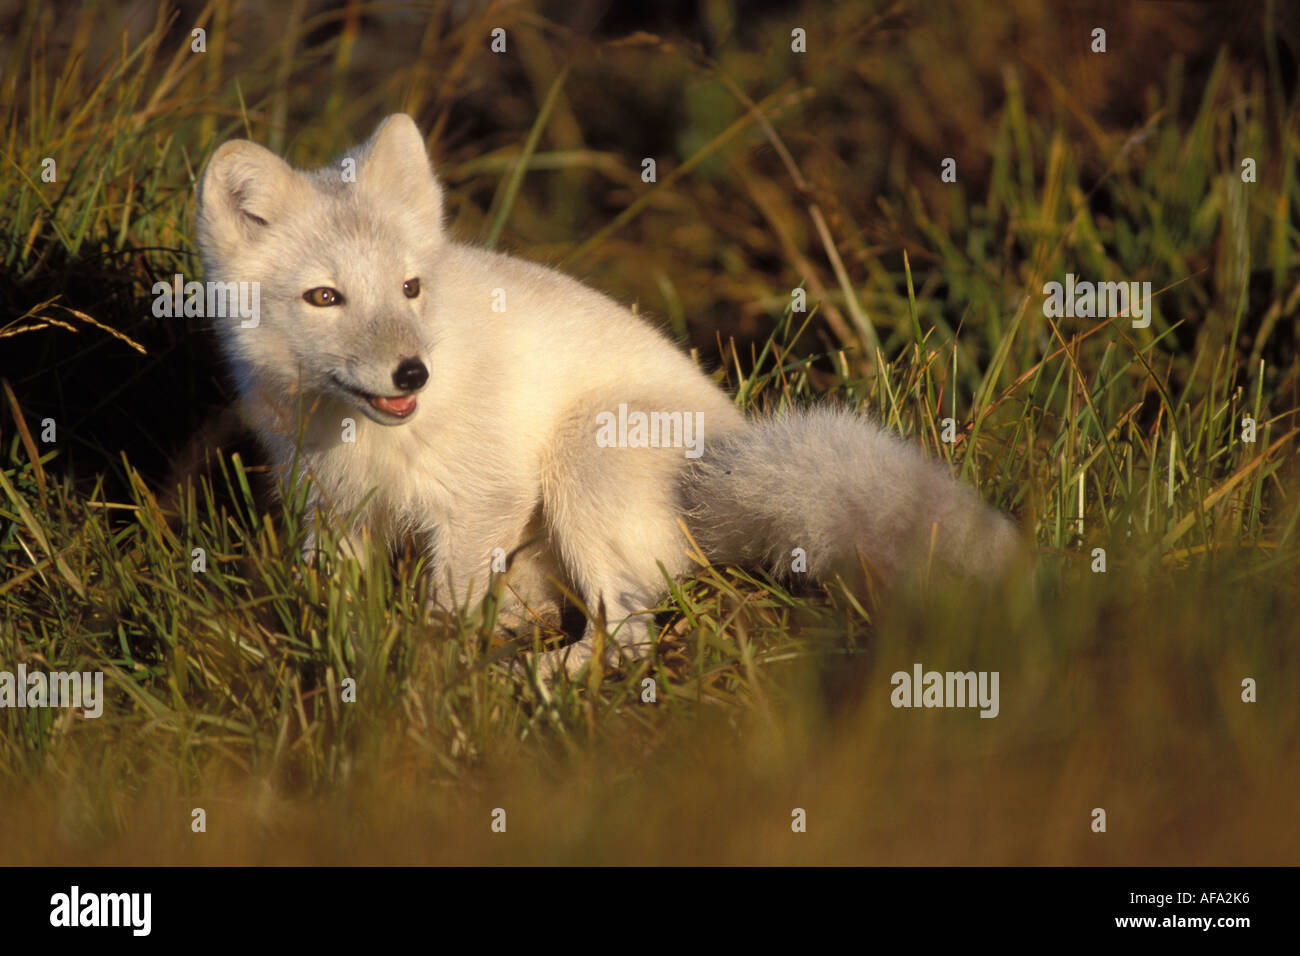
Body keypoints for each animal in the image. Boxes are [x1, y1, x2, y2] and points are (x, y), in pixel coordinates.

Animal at [195, 113, 1022, 676]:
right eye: (324, 297)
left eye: (409, 288)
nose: (411, 374)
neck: (365, 439)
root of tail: (730, 458)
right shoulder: (331, 513)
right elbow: (334, 611)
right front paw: (343, 671)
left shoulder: (483, 501)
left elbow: (445, 612)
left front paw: (430, 684)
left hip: (578, 458)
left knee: (626, 636)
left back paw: (534, 680)